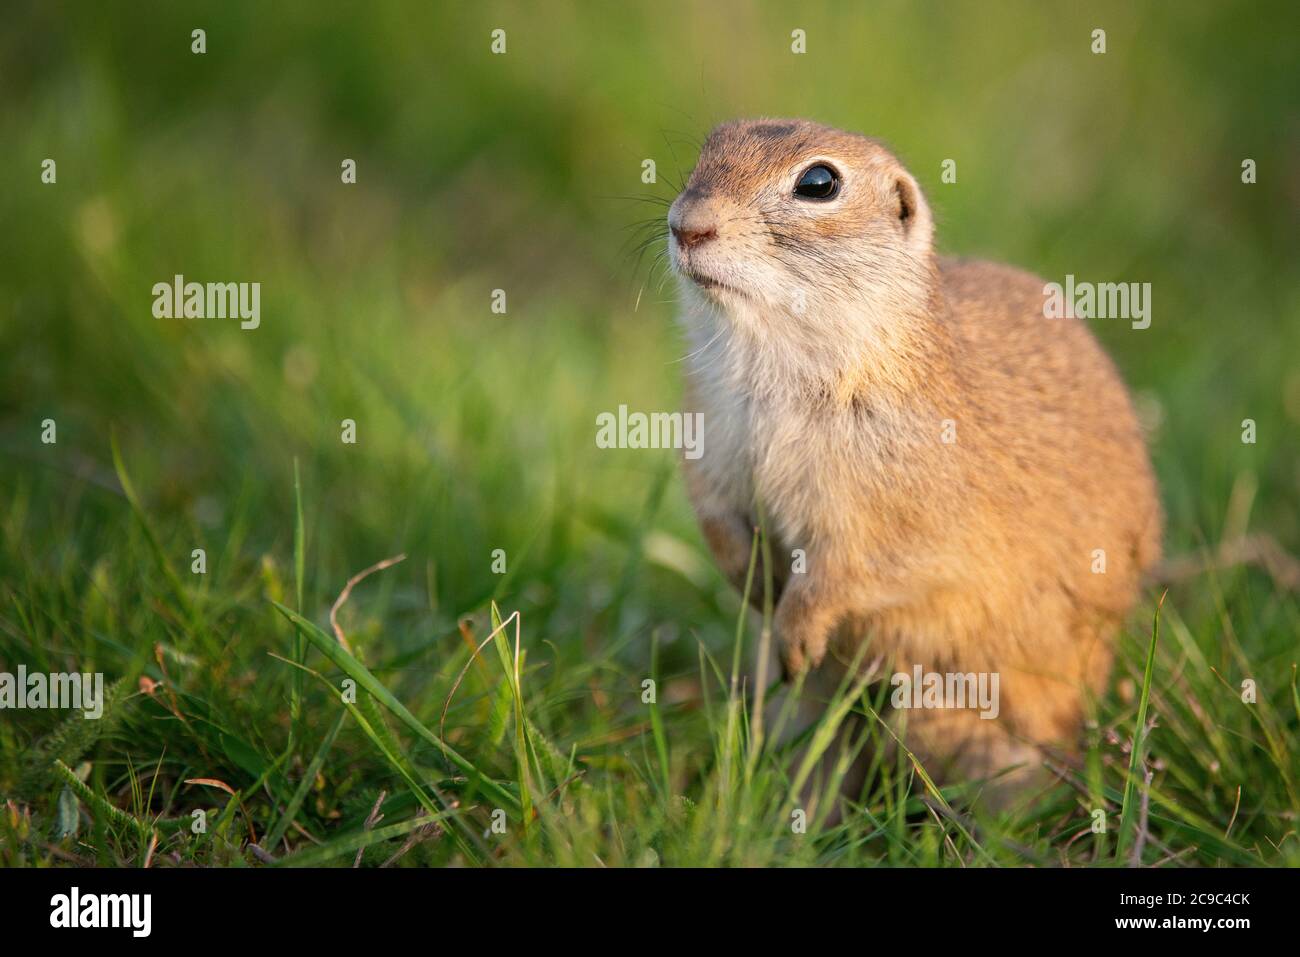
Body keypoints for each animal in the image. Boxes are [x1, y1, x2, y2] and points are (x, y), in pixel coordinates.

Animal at [668, 118, 1162, 802]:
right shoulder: (710, 440)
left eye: (819, 183)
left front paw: (797, 626)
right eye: (709, 147)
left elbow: (854, 566)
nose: (685, 224)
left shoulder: (896, 506)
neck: (772, 360)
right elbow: (717, 517)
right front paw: (753, 584)